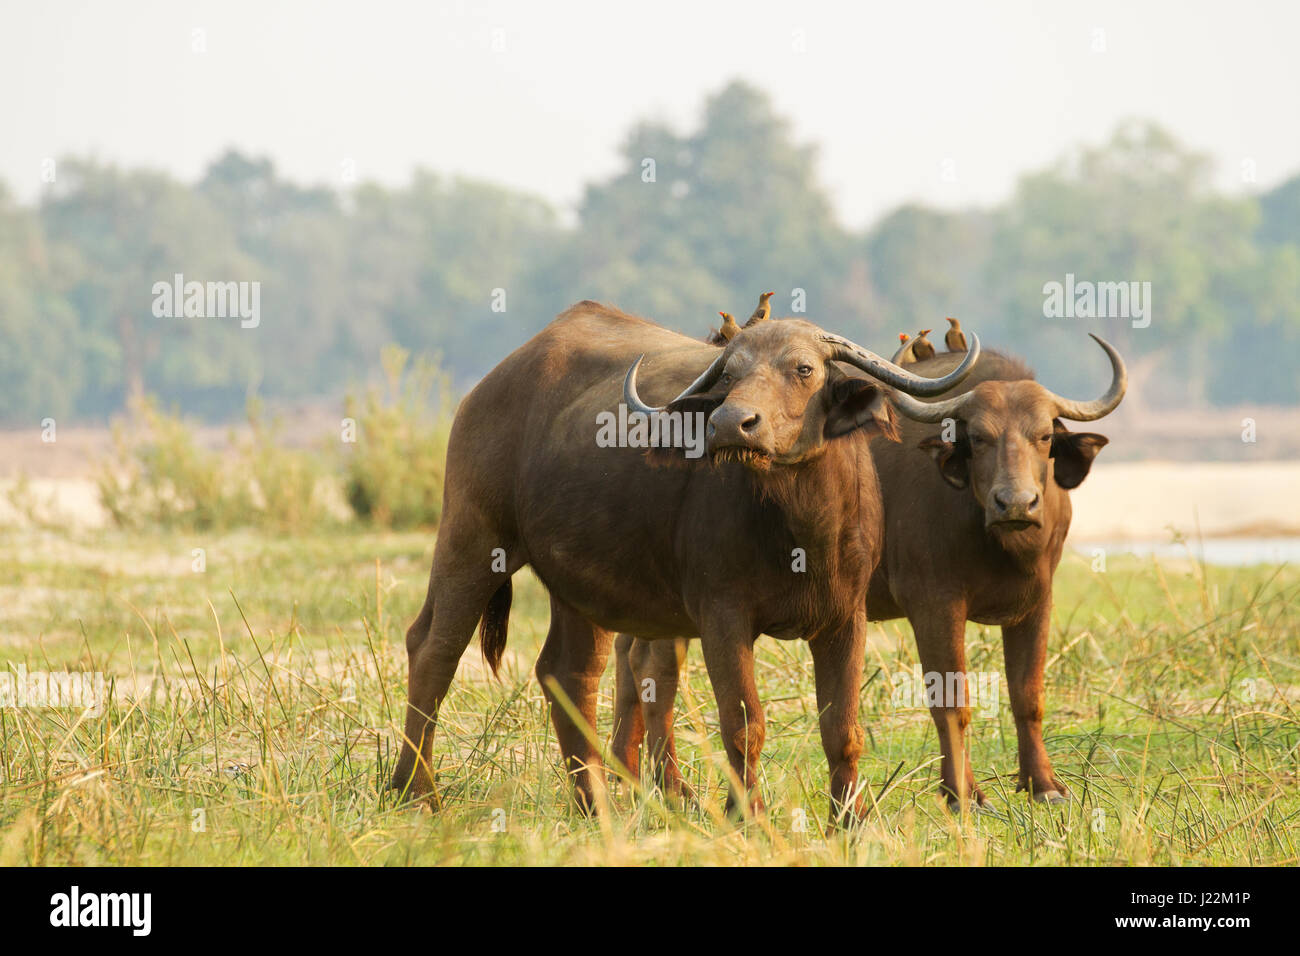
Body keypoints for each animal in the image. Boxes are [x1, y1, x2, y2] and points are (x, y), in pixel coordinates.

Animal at [390, 300, 979, 821]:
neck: (798, 532)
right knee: (434, 648)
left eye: (804, 369)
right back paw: (414, 792)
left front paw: (849, 819)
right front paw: (747, 815)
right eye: (731, 374)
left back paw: (594, 805)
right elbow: (744, 723)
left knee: (568, 671)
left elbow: (843, 729)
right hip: (471, 534)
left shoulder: (845, 617)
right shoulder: (722, 614)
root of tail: (489, 385)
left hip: (578, 584)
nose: (731, 423)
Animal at [613, 335, 1125, 807]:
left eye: (1044, 436)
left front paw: (1045, 786)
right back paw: (668, 787)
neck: (994, 535)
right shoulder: (934, 602)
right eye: (978, 437)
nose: (1015, 503)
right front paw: (963, 794)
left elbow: (1029, 696)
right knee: (655, 667)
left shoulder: (1037, 601)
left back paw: (633, 775)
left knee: (632, 654)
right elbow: (950, 702)